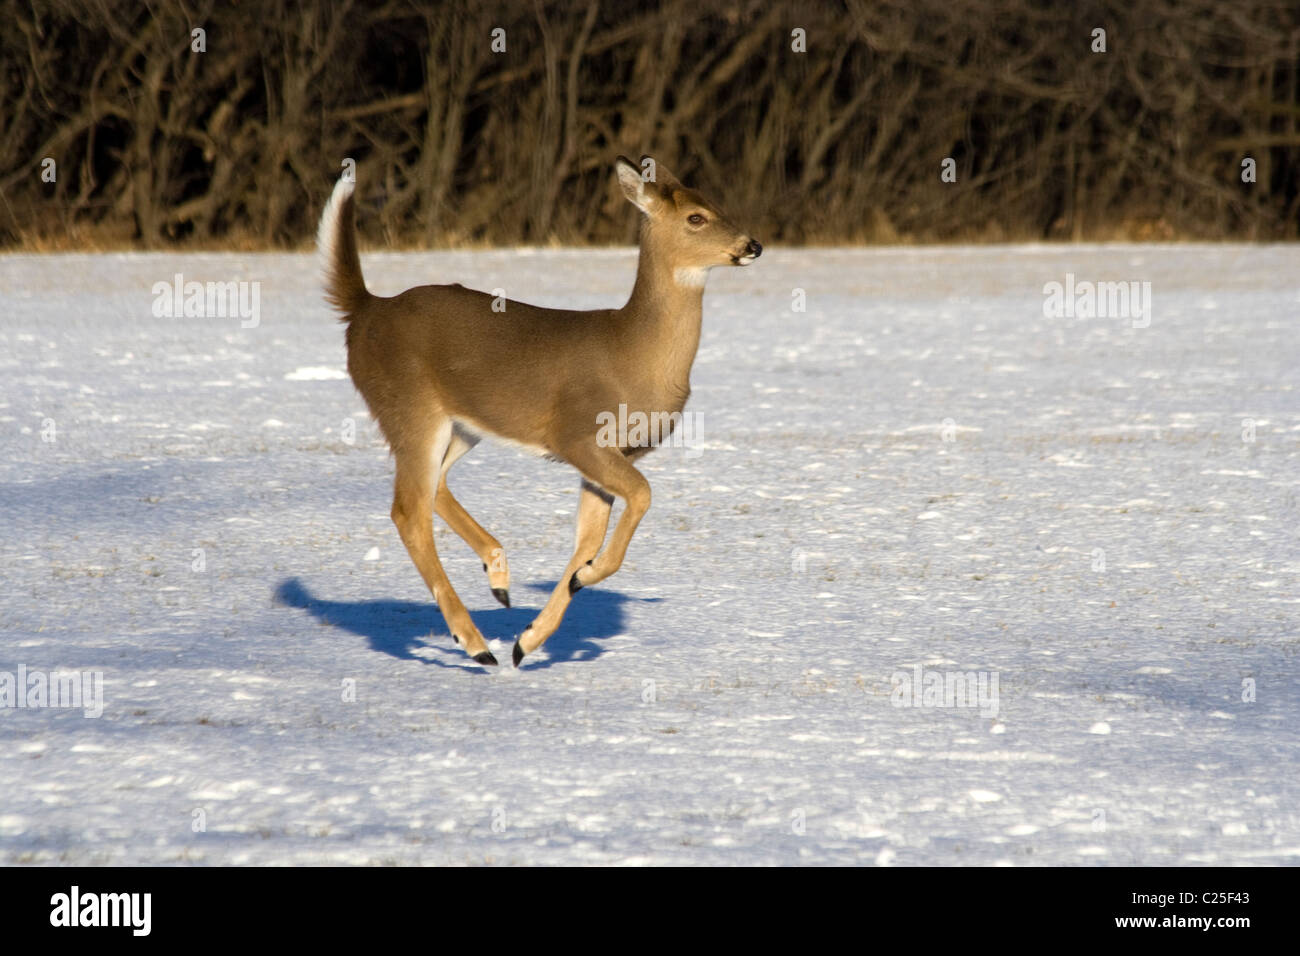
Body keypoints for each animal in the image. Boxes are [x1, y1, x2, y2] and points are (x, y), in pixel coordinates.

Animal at [316, 155, 761, 668]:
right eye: (695, 217)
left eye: (716, 205)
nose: (752, 245)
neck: (633, 352)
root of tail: (365, 309)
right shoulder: (576, 434)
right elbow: (642, 496)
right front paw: (580, 582)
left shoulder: (614, 454)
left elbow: (586, 540)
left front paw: (529, 637)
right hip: (409, 407)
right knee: (409, 511)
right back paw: (475, 644)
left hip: (463, 425)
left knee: (435, 489)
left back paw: (499, 583)